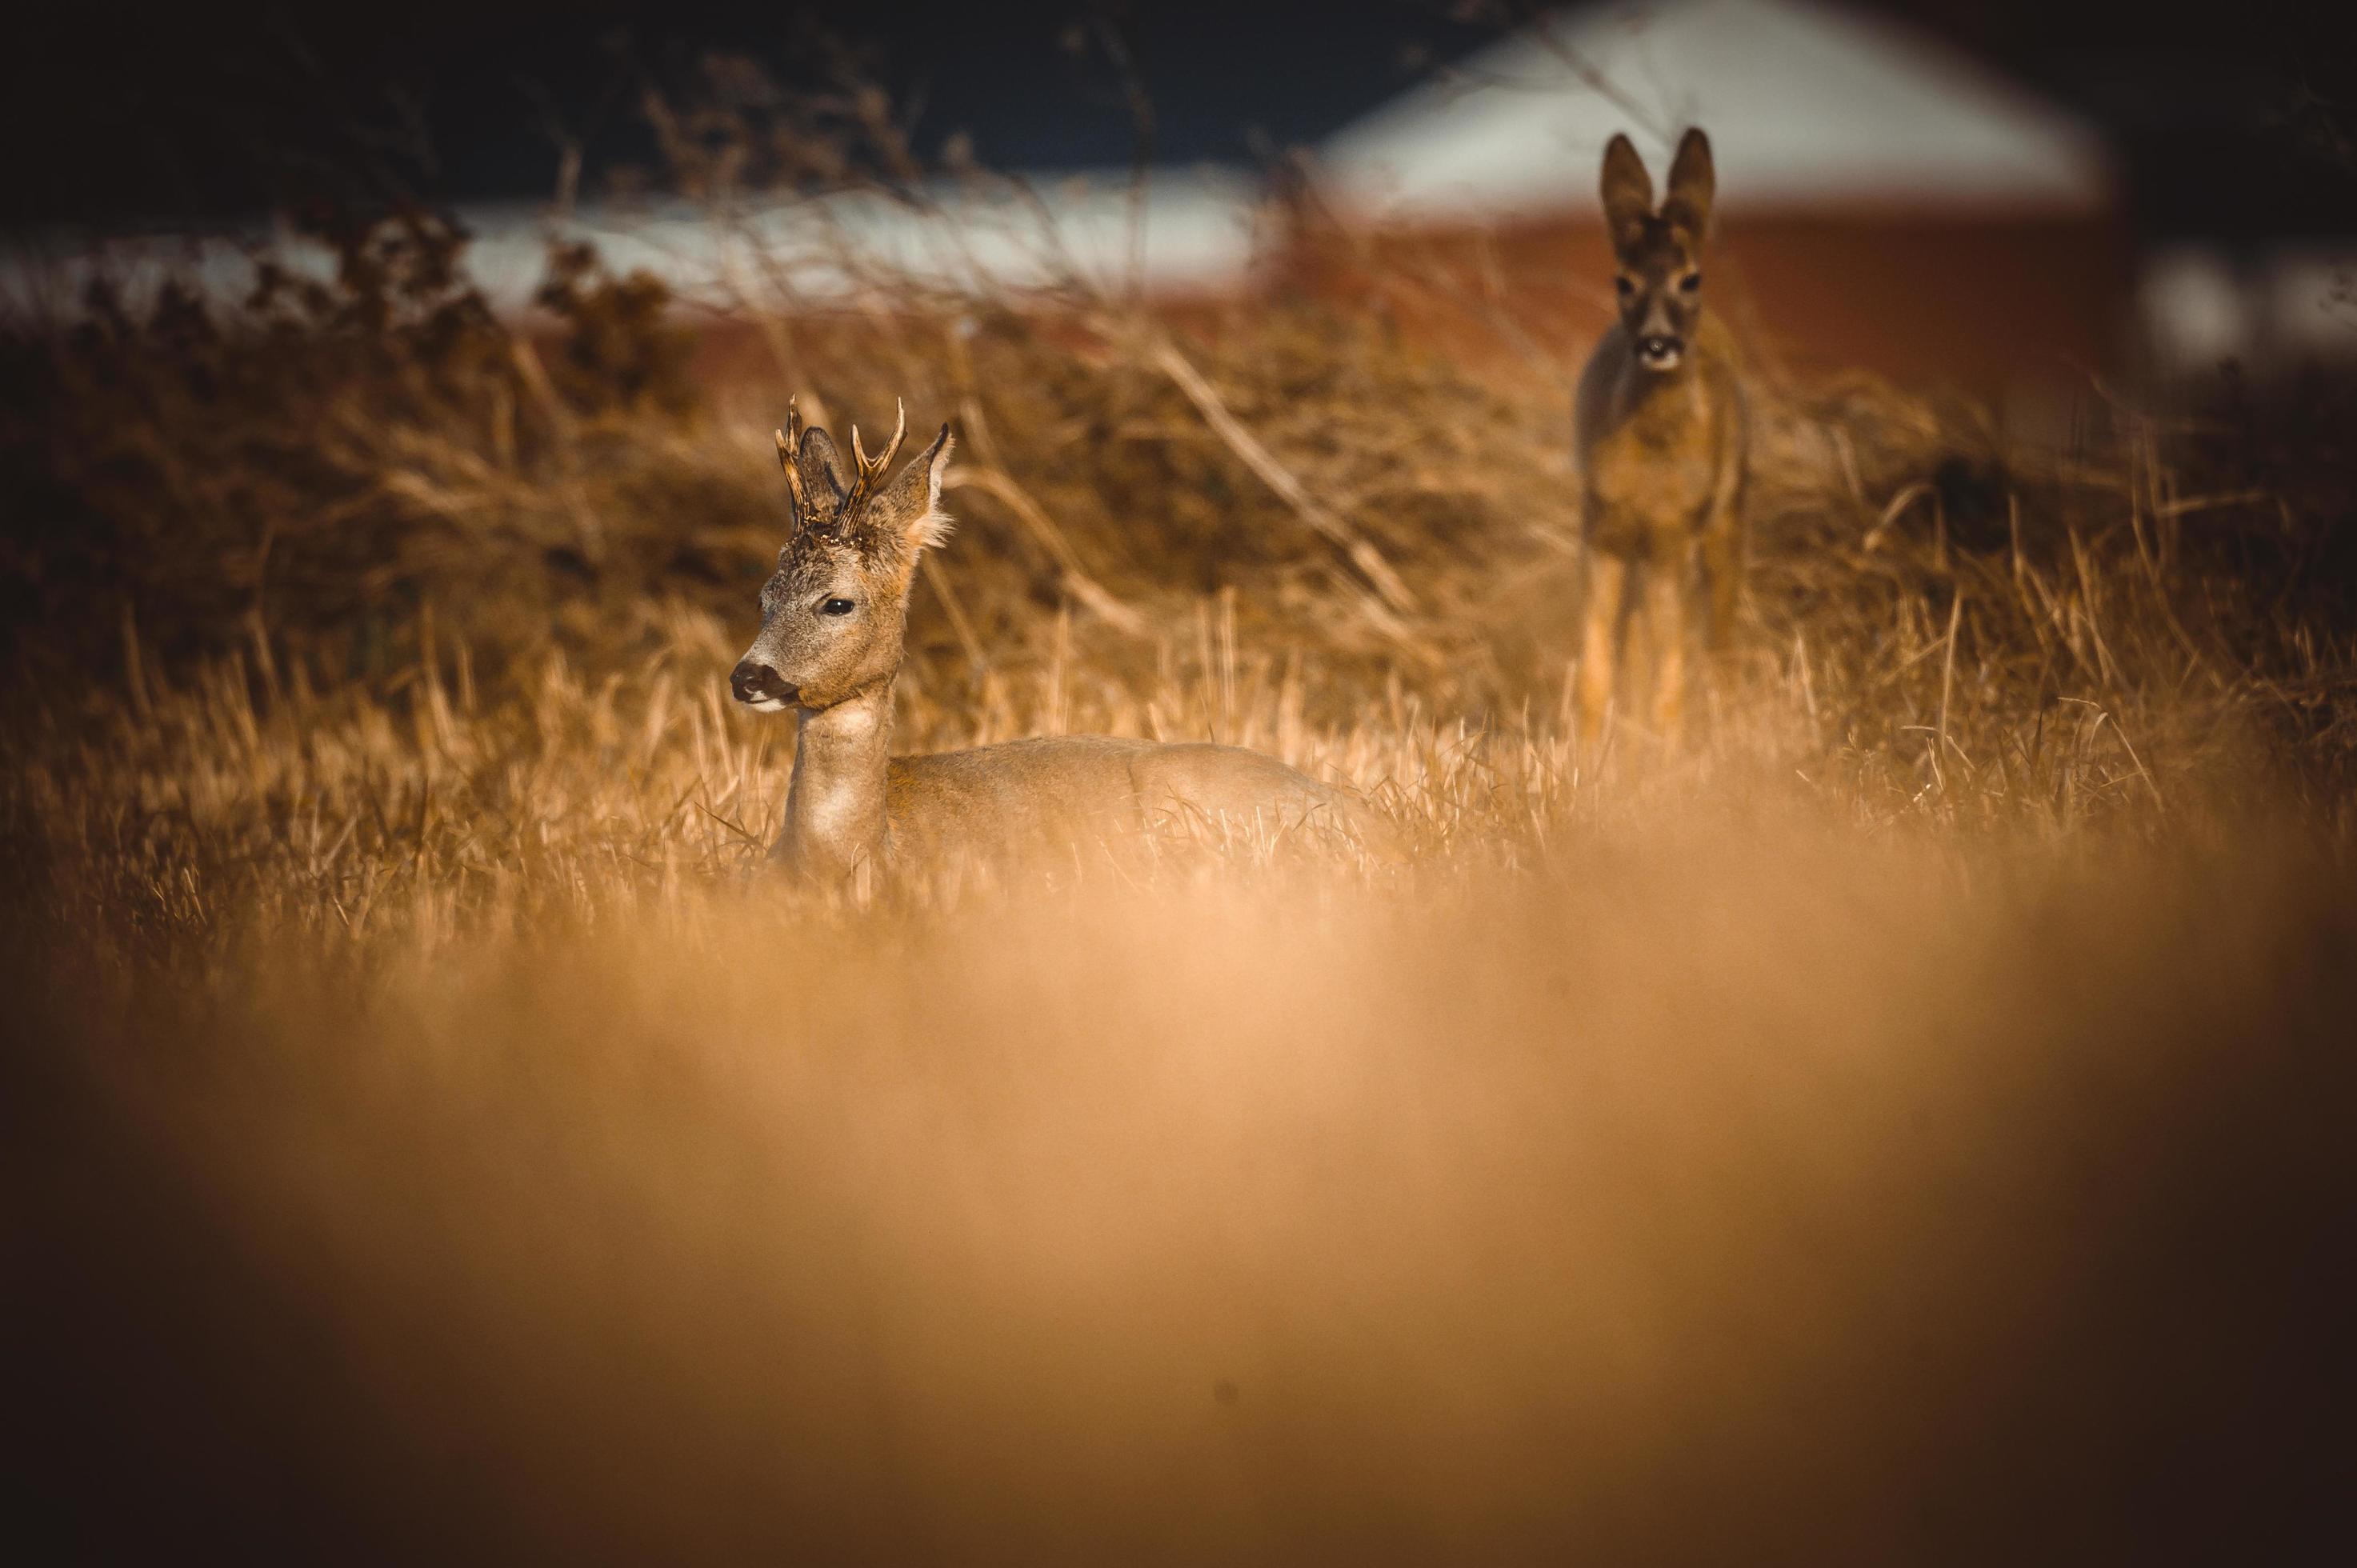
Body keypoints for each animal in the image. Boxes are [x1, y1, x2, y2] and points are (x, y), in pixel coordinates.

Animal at [1573, 127, 1748, 746]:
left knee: (1719, 628)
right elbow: (1597, 664)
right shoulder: (1602, 525)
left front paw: (1666, 755)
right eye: (1622, 282)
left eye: (1690, 278)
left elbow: (1669, 668)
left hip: (1727, 514)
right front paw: (1586, 756)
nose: (1656, 343)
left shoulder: (1675, 532)